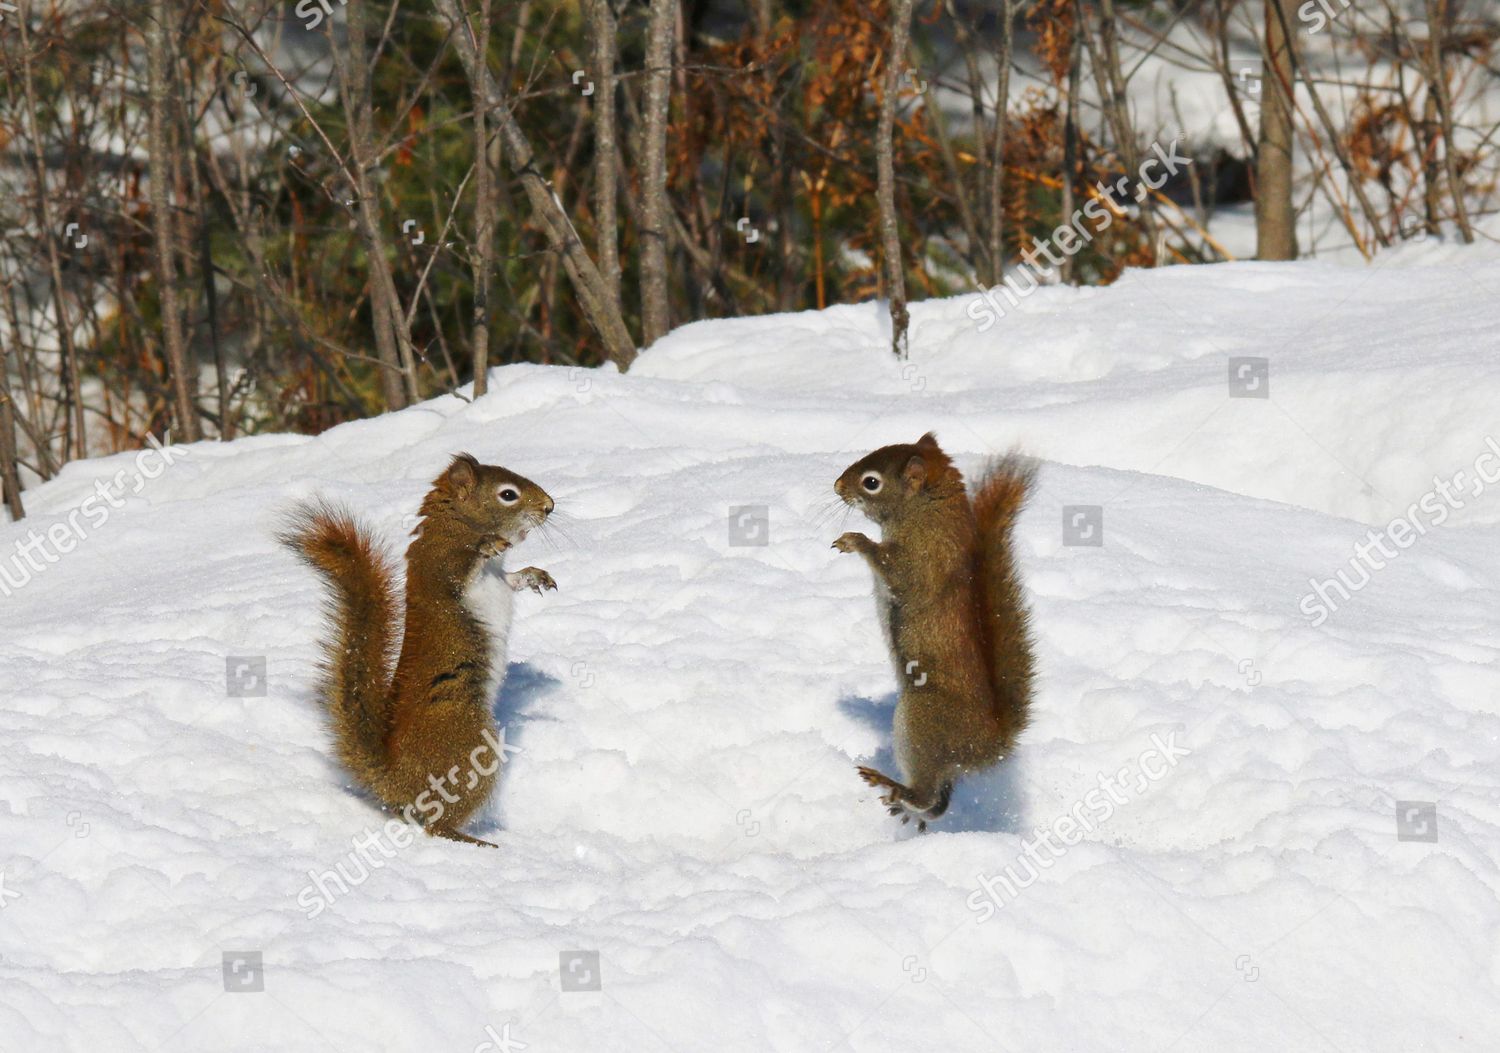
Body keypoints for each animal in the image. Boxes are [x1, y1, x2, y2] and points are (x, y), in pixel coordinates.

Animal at [281, 453, 556, 848]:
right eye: (508, 494)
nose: (549, 507)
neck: (455, 524)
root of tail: (396, 779)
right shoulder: (440, 566)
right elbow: (463, 566)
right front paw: (489, 544)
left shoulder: (499, 579)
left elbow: (513, 579)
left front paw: (535, 575)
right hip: (468, 745)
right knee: (436, 825)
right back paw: (476, 842)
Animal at [833, 433, 1036, 831]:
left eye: (871, 482)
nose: (836, 486)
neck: (925, 512)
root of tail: (992, 745)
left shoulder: (923, 561)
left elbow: (894, 569)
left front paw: (855, 541)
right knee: (940, 802)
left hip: (921, 723)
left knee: (928, 792)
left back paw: (893, 787)